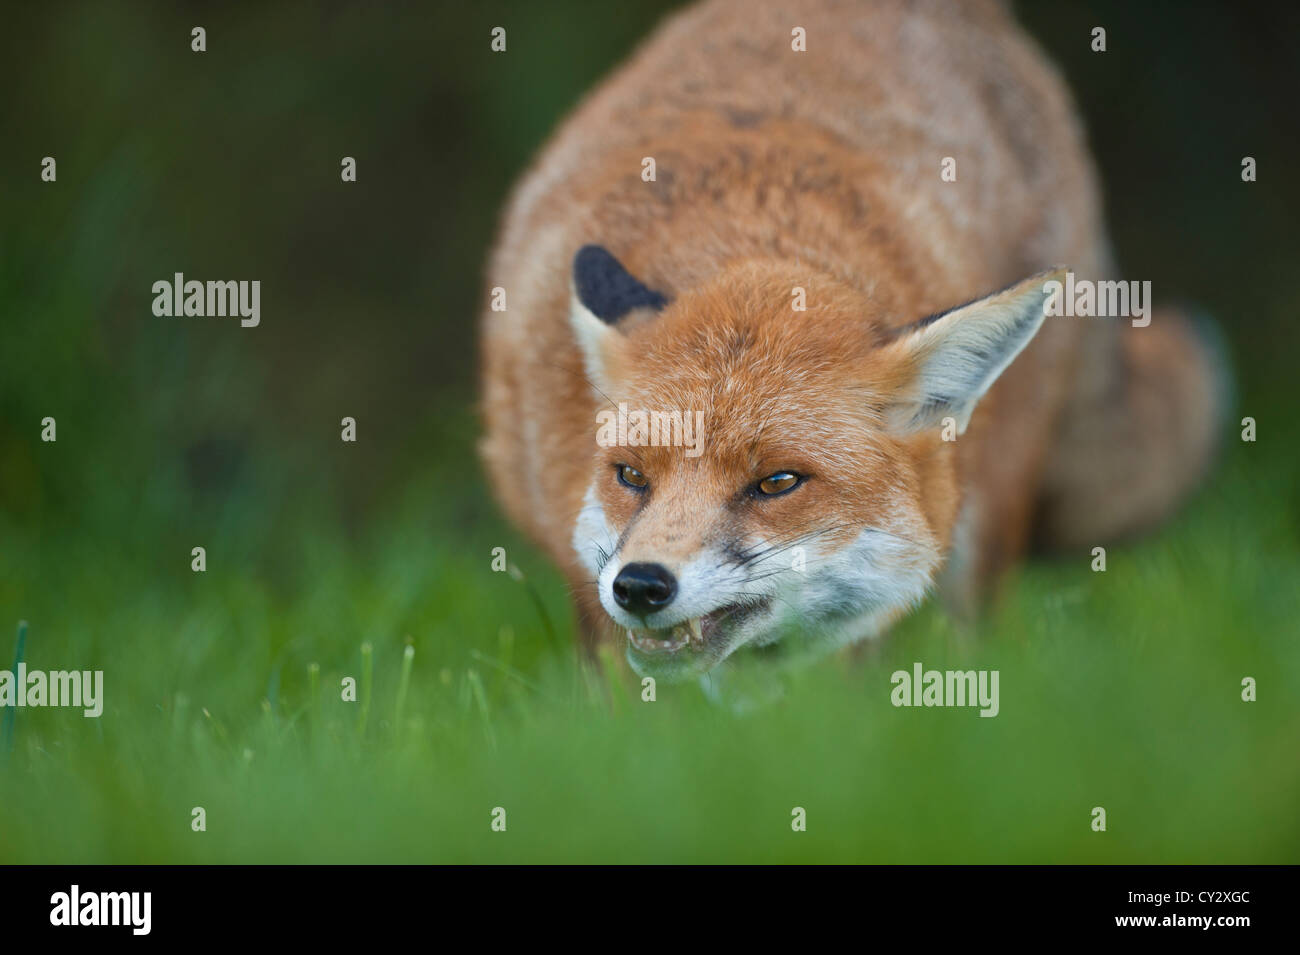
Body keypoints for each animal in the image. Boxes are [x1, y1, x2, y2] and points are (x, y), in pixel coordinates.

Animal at [479, 0, 1227, 682]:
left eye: (778, 482)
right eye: (631, 475)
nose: (640, 584)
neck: (751, 220)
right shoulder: (587, 587)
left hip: (988, 516)